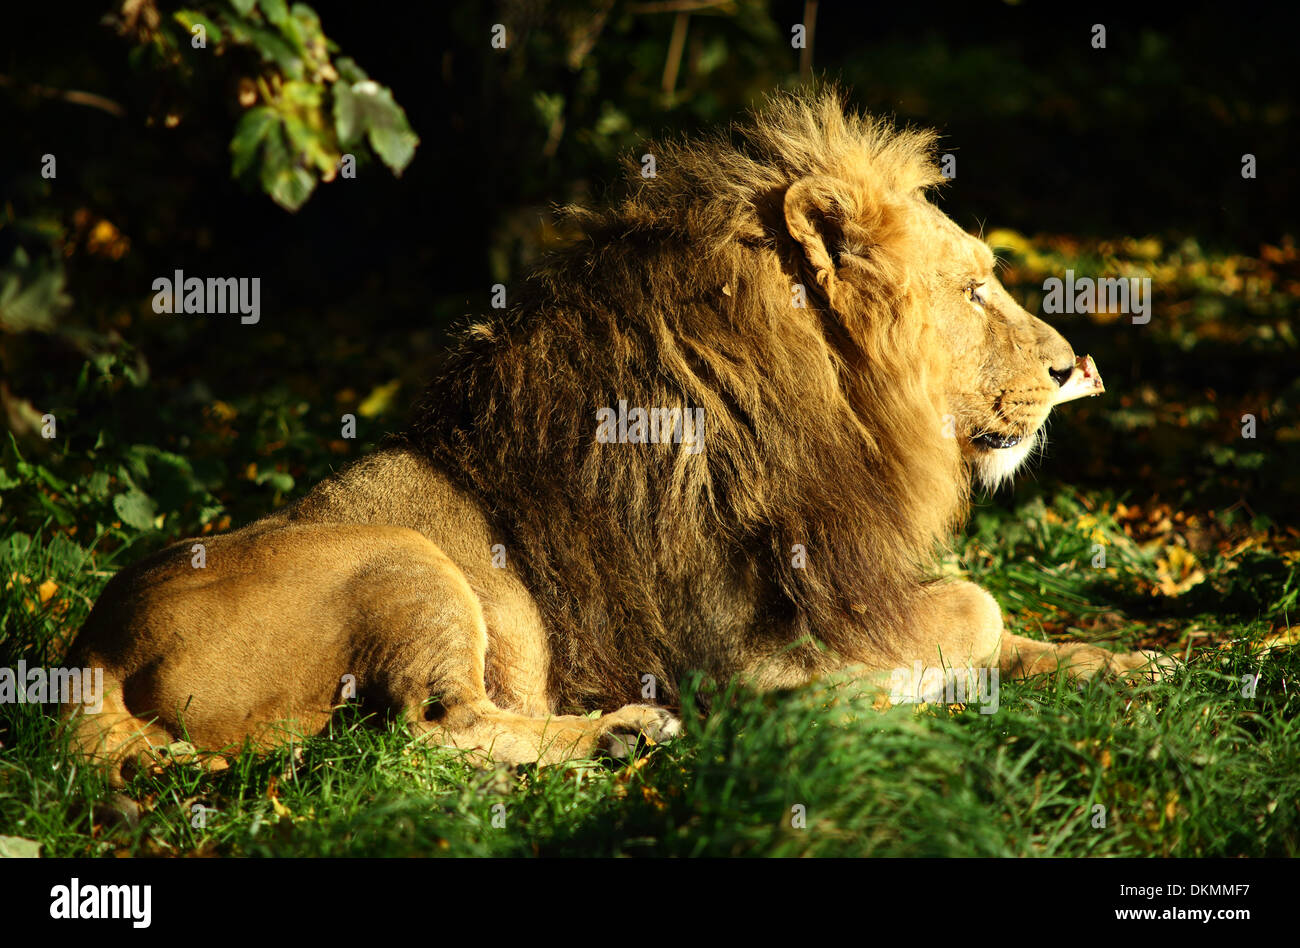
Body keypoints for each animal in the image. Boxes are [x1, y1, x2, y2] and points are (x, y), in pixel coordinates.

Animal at [62, 90, 1164, 784]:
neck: (831, 405)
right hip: (406, 558)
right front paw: (885, 700)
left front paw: (1128, 669)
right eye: (973, 289)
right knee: (417, 734)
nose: (1076, 367)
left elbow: (1010, 632)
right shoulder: (731, 651)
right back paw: (623, 739)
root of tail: (88, 650)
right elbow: (972, 611)